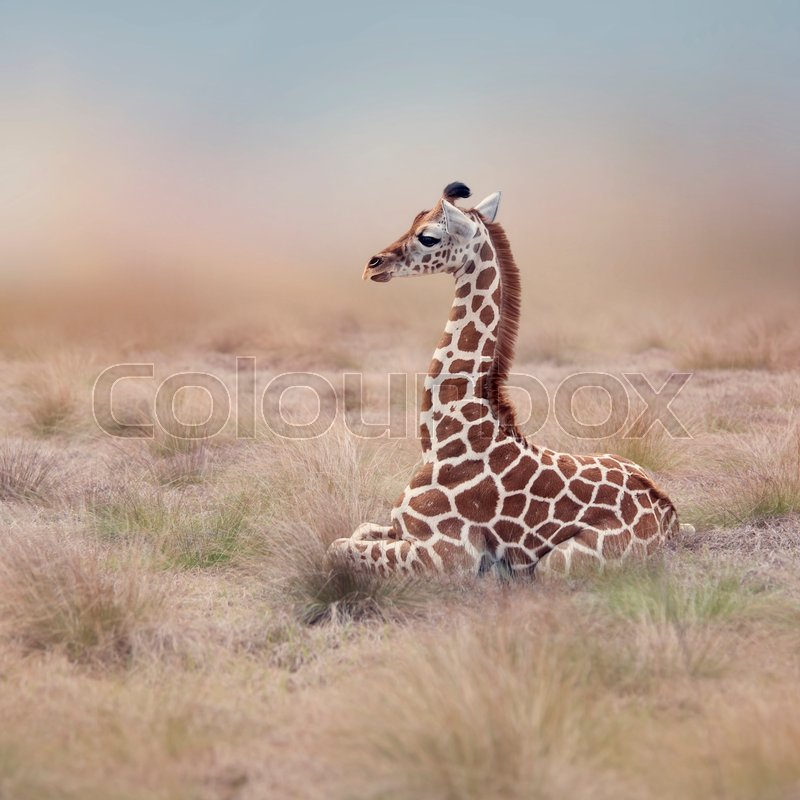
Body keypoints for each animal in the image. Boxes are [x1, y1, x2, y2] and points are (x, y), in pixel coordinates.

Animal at [327, 182, 684, 577]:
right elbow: (356, 531)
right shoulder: (399, 529)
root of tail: (668, 515)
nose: (372, 265)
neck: (443, 439)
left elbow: (336, 548)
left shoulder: (446, 555)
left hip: (555, 565)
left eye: (428, 236)